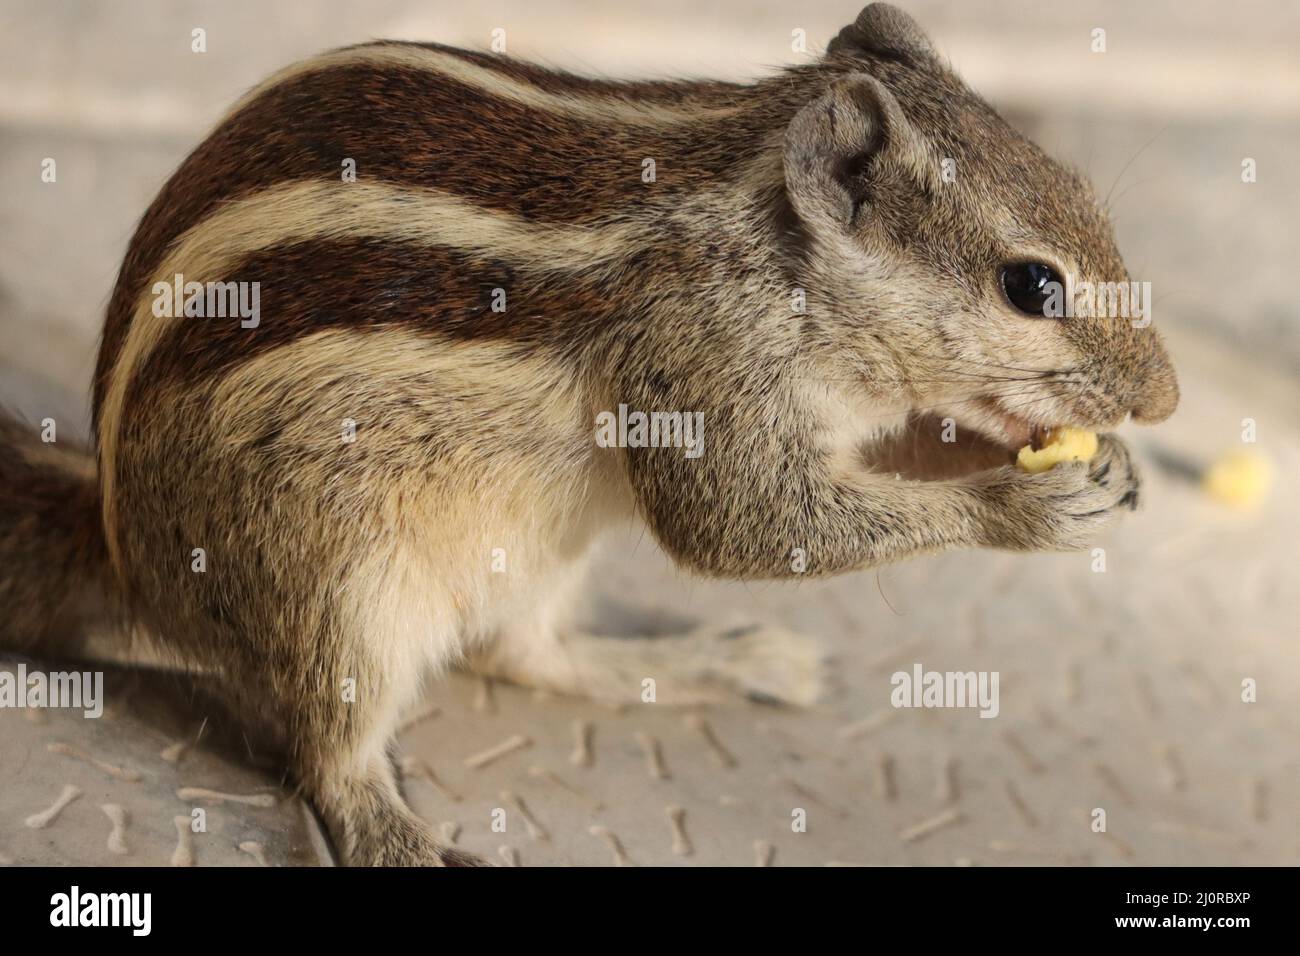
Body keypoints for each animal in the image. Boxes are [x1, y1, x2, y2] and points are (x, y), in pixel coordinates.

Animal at [0, 4, 1177, 866]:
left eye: (1085, 195)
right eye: (1031, 286)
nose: (1162, 397)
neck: (771, 247)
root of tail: (127, 552)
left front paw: (1110, 470)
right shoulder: (698, 359)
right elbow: (742, 522)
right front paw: (1021, 503)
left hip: (534, 558)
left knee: (532, 655)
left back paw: (708, 660)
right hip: (332, 579)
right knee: (330, 751)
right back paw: (394, 831)